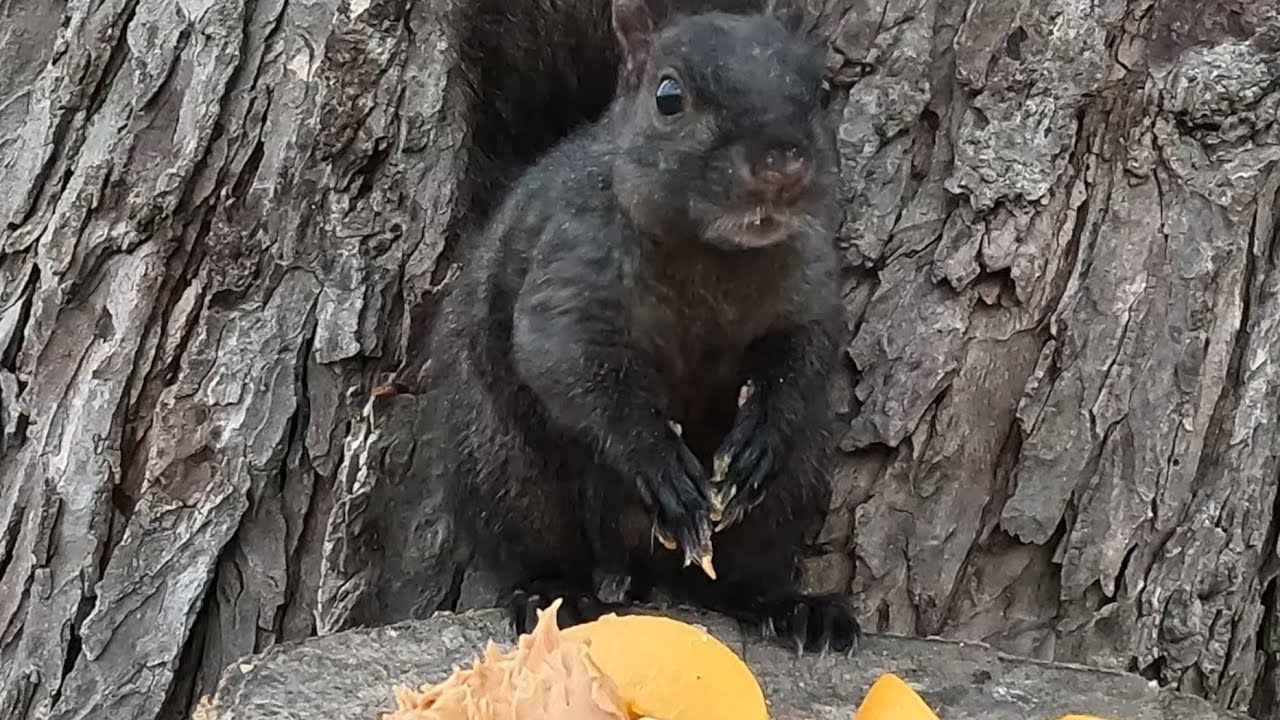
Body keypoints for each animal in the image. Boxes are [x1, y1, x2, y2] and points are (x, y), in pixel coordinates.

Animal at [423, 0, 859, 654]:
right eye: (668, 97)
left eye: (824, 91)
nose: (782, 165)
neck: (715, 258)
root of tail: (635, 558)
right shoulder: (570, 273)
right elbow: (570, 364)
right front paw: (658, 462)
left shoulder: (810, 279)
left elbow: (807, 352)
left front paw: (762, 435)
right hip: (507, 469)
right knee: (534, 546)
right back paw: (552, 594)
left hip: (796, 482)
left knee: (740, 574)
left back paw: (789, 606)